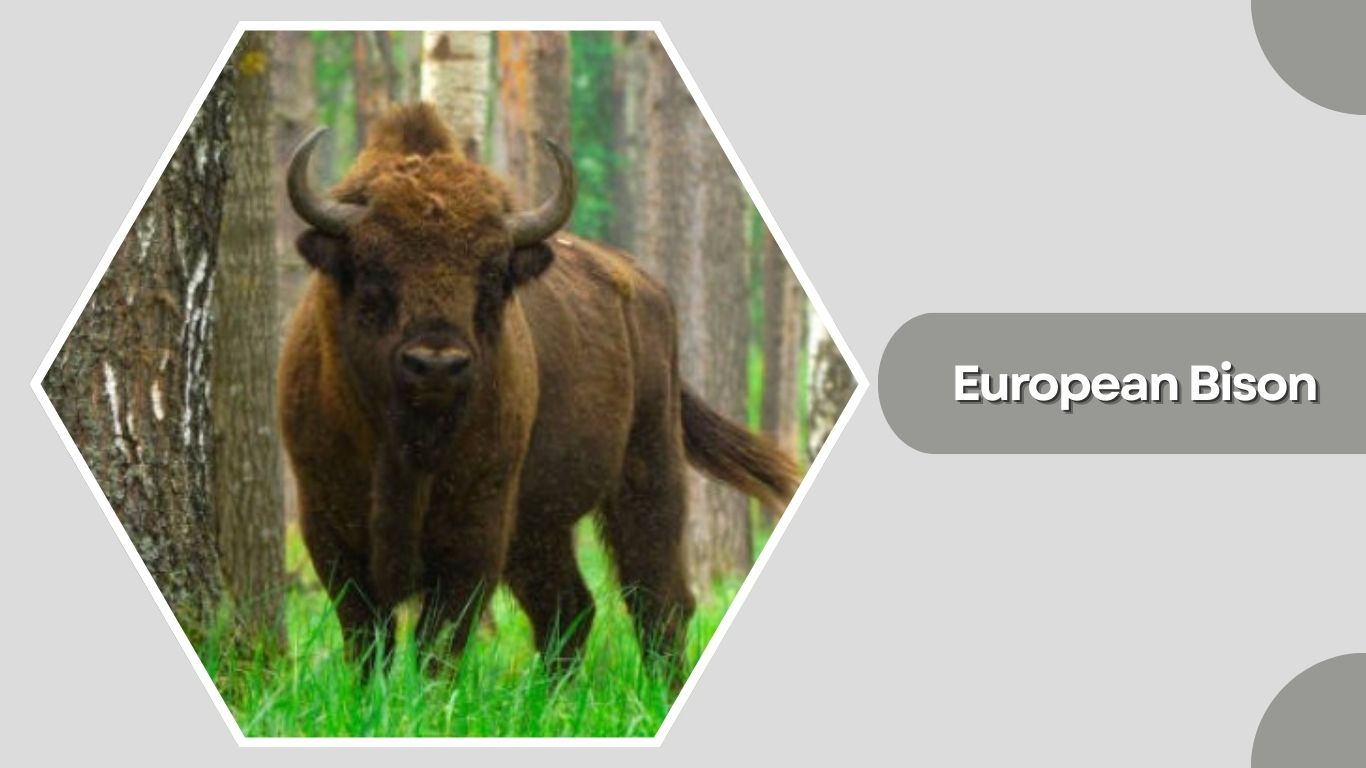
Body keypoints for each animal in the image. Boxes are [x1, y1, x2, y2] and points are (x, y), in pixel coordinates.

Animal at [278, 103, 798, 679]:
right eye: (371, 268)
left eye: (492, 274)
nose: (436, 364)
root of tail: (646, 287)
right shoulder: (329, 523)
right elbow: (368, 636)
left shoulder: (477, 527)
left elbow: (441, 637)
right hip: (540, 525)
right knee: (568, 607)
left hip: (647, 472)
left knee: (657, 598)